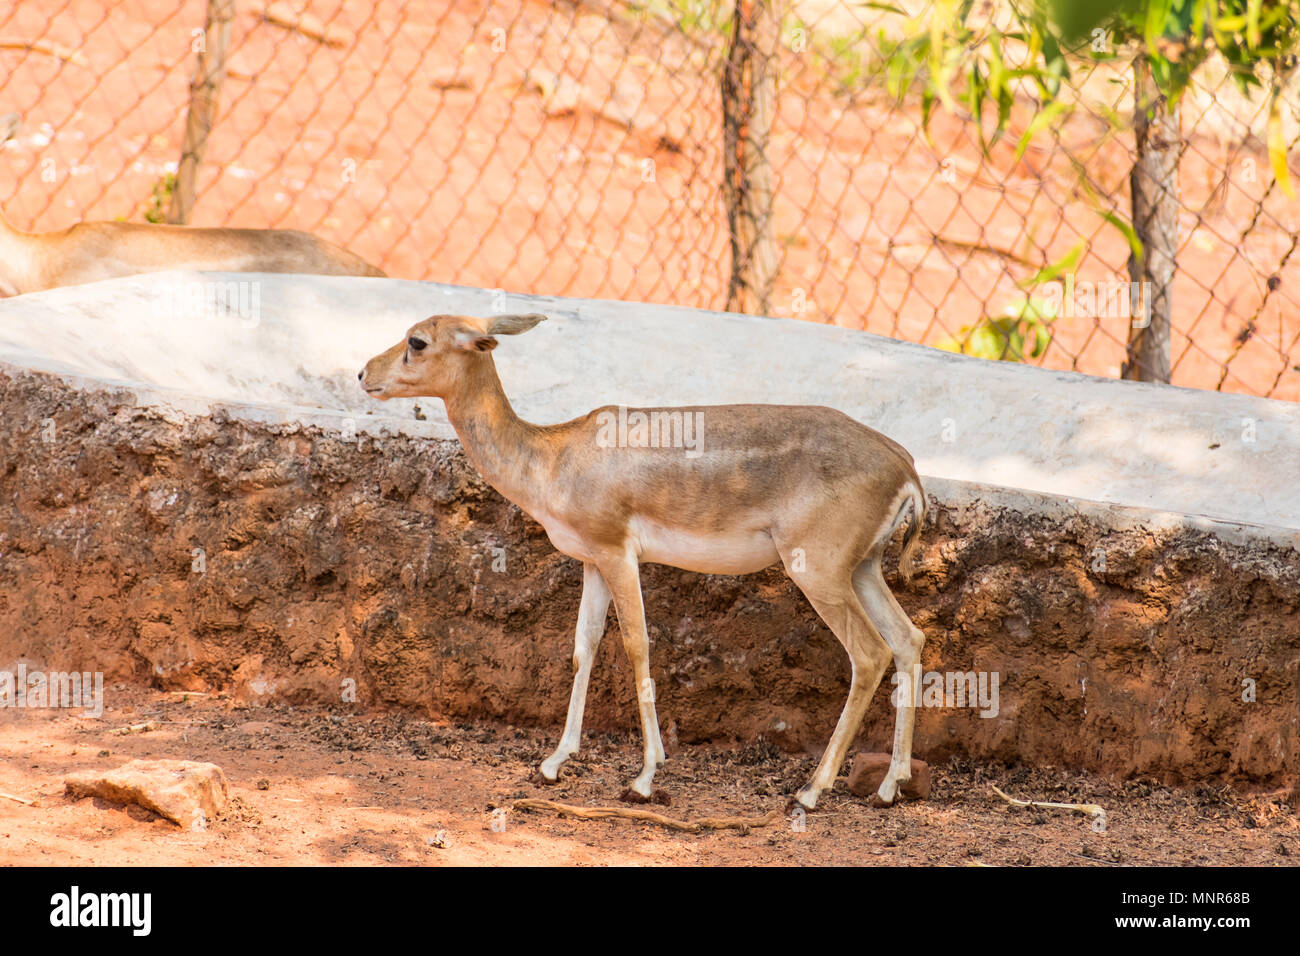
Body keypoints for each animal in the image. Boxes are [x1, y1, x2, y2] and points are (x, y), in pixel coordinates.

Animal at [359, 313, 928, 810]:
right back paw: (888, 787)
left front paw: (645, 777)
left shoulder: (617, 552)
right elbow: (583, 647)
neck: (554, 459)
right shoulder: (591, 560)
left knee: (869, 653)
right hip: (863, 568)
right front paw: (553, 763)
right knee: (908, 639)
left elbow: (637, 644)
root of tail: (906, 468)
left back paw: (810, 790)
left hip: (817, 571)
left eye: (417, 341)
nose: (364, 374)